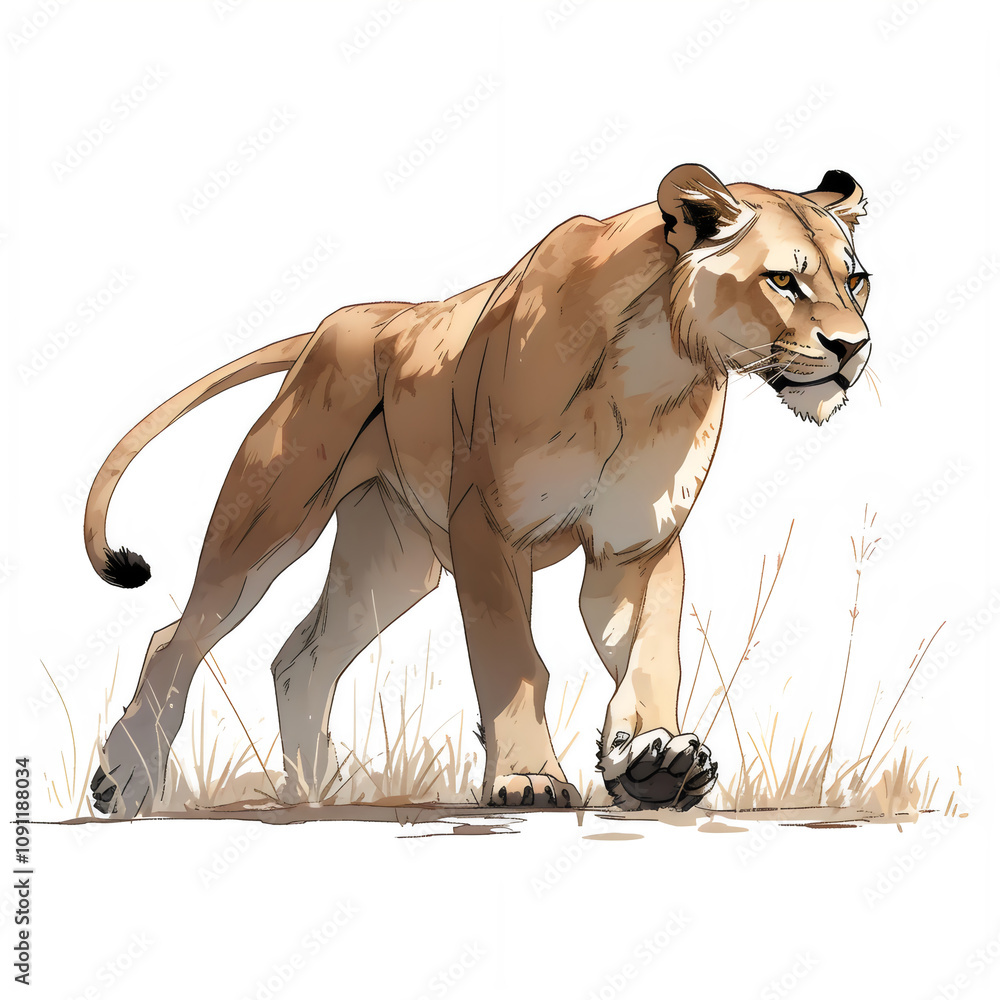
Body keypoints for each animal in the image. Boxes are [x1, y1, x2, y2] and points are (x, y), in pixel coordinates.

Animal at [84, 164, 871, 817]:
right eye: (783, 281)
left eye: (856, 281)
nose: (852, 347)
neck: (656, 369)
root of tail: (342, 323)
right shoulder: (488, 526)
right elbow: (512, 659)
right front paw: (528, 778)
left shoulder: (636, 542)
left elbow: (652, 655)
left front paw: (654, 763)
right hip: (270, 516)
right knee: (180, 635)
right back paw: (125, 779)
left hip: (391, 562)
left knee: (300, 658)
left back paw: (313, 793)